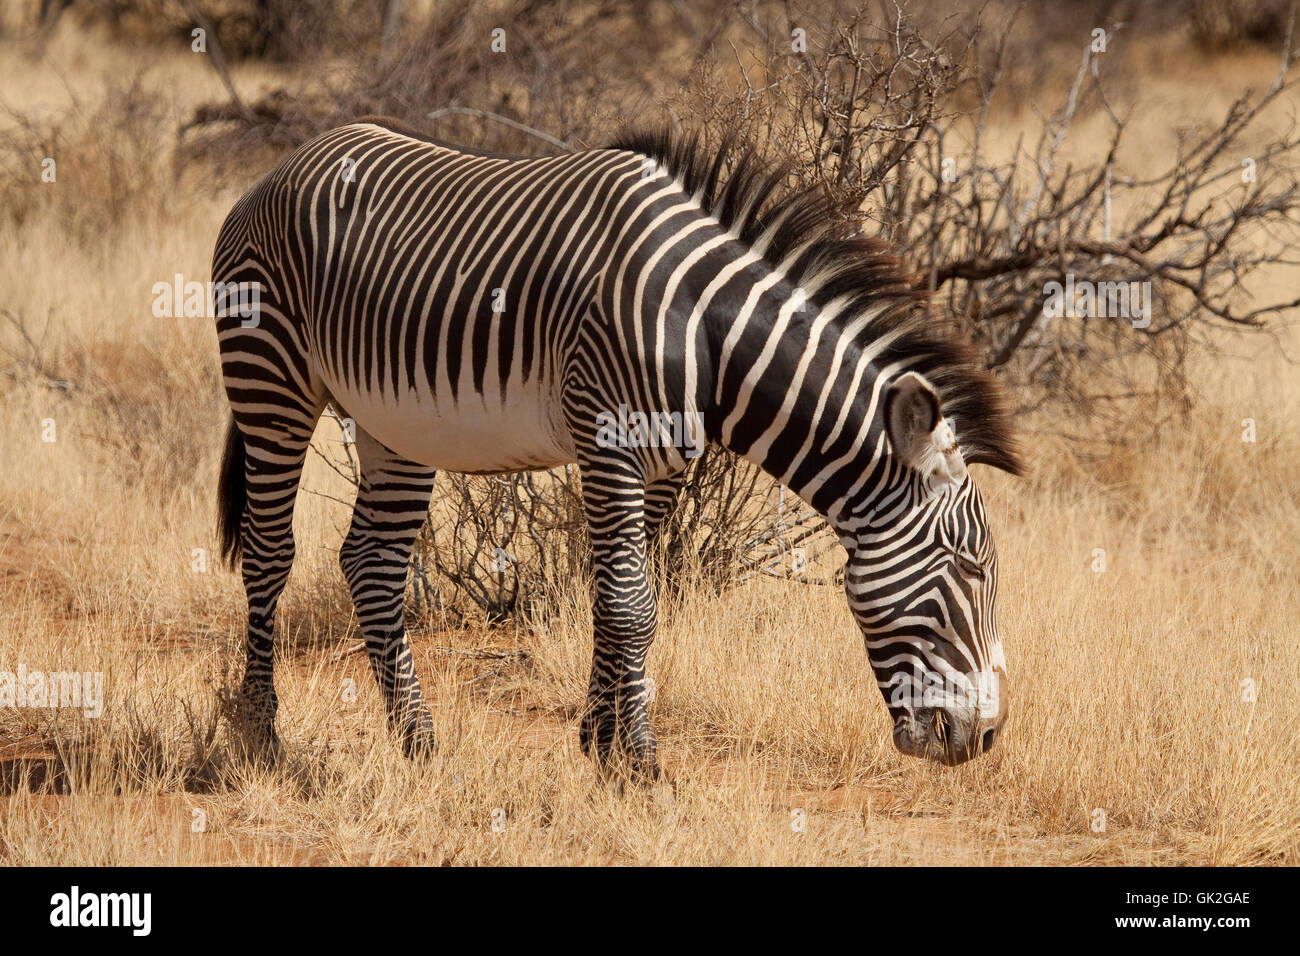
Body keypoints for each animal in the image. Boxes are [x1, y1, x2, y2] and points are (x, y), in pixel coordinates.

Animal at [212, 117, 1021, 777]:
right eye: (971, 568)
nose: (985, 739)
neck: (707, 334)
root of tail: (286, 164)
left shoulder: (663, 467)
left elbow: (628, 597)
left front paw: (600, 742)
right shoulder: (609, 442)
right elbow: (630, 604)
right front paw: (638, 759)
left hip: (396, 423)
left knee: (372, 564)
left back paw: (417, 742)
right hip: (271, 378)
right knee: (269, 549)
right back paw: (259, 734)